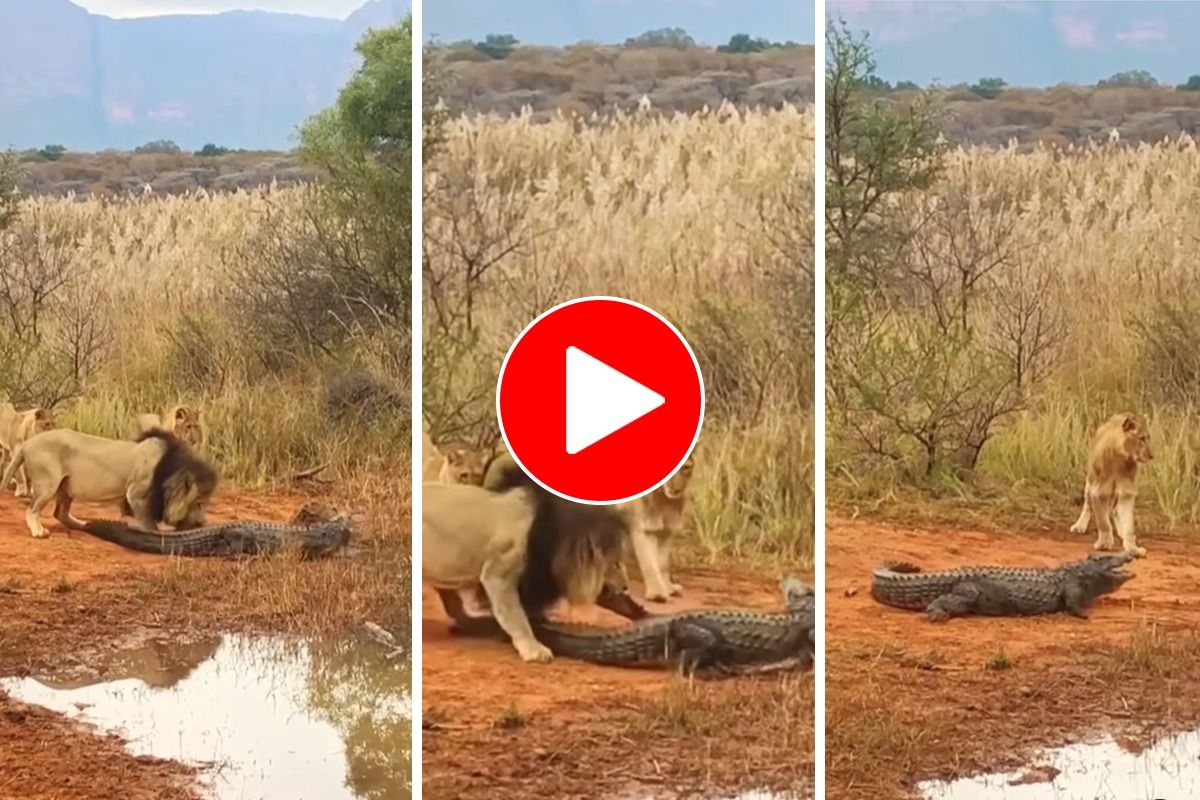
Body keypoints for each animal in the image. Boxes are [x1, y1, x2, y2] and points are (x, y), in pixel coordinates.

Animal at [1, 428, 218, 539]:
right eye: (200, 503)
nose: (203, 523)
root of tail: (27, 443)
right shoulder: (136, 494)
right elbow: (149, 522)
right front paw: (153, 535)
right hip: (48, 484)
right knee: (32, 510)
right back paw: (38, 531)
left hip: (67, 487)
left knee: (60, 513)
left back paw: (83, 524)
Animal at [623, 453, 696, 602]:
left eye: (686, 468)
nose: (677, 490)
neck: (664, 501)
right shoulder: (643, 529)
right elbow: (649, 562)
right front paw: (657, 594)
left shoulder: (667, 531)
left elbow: (662, 563)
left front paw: (668, 588)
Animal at [1069, 413, 1153, 557]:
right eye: (1142, 439)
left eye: (1148, 438)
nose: (1152, 456)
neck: (1121, 458)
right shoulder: (1099, 491)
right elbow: (1103, 522)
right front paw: (1104, 543)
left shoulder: (1127, 492)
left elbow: (1128, 524)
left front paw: (1133, 548)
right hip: (1090, 481)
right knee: (1088, 505)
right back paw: (1079, 526)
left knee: (1115, 511)